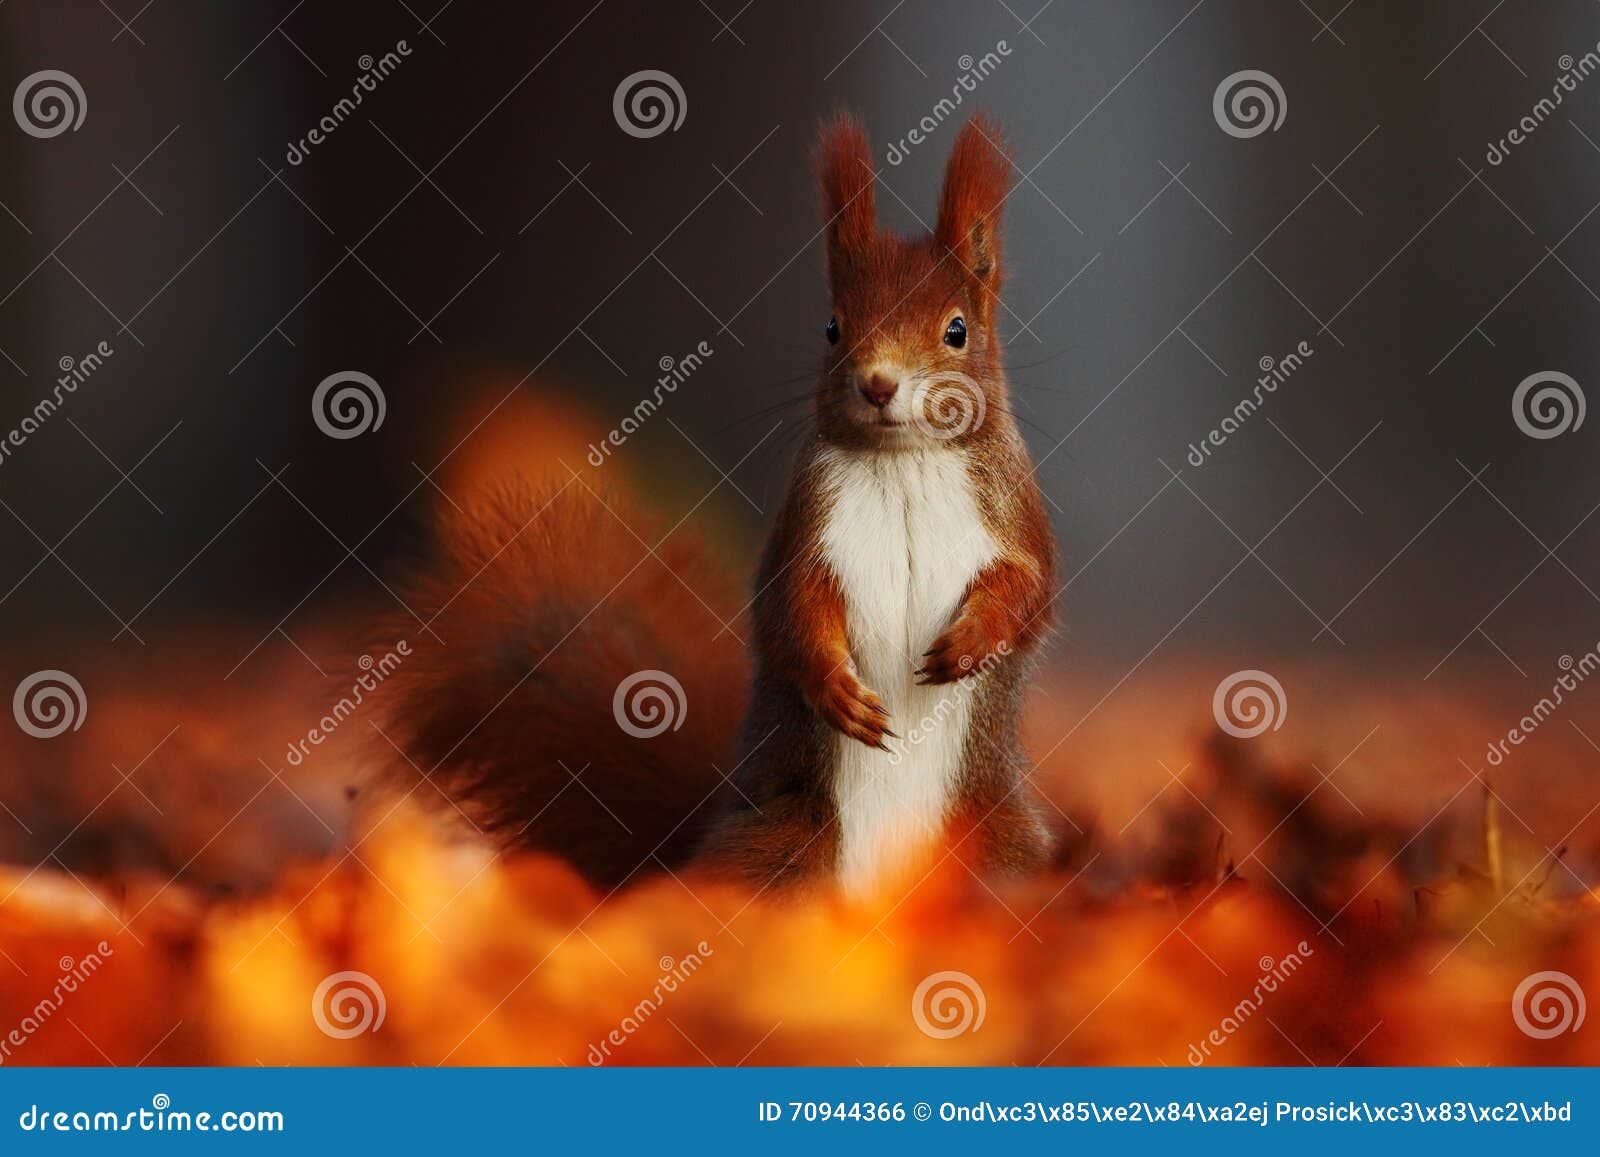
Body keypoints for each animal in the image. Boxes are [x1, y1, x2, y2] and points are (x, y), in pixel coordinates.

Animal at [372, 113, 1058, 900]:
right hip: (781, 845)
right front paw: (838, 690)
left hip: (997, 846)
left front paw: (970, 641)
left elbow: (1029, 590)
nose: (879, 383)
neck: (904, 459)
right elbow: (793, 610)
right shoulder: (809, 523)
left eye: (956, 330)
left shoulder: (1010, 508)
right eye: (831, 325)